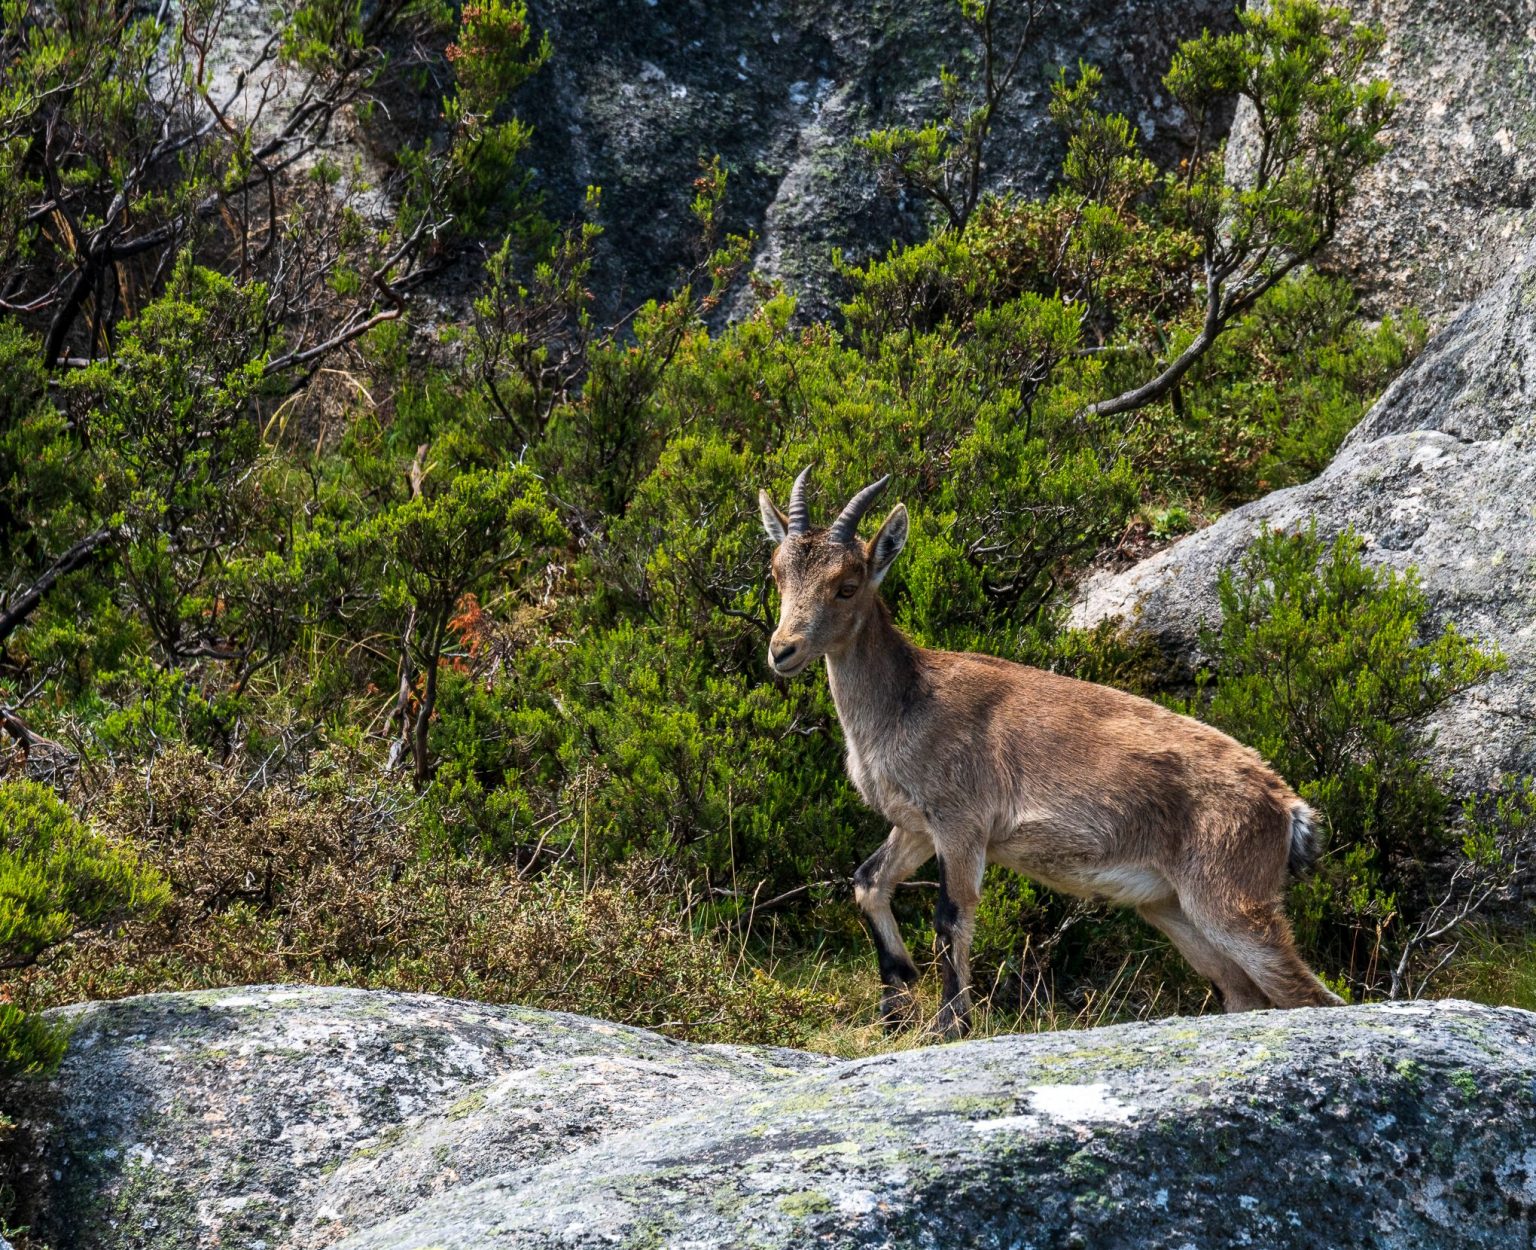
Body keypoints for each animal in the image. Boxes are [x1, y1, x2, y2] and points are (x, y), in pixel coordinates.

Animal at [758, 467, 1342, 1037]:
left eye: (847, 585)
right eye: (778, 572)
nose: (783, 650)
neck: (908, 701)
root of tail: (1286, 806)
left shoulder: (961, 823)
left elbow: (951, 916)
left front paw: (951, 1024)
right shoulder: (916, 825)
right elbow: (869, 882)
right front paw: (895, 1007)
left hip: (1229, 898)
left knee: (1309, 994)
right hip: (1173, 909)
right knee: (1245, 994)